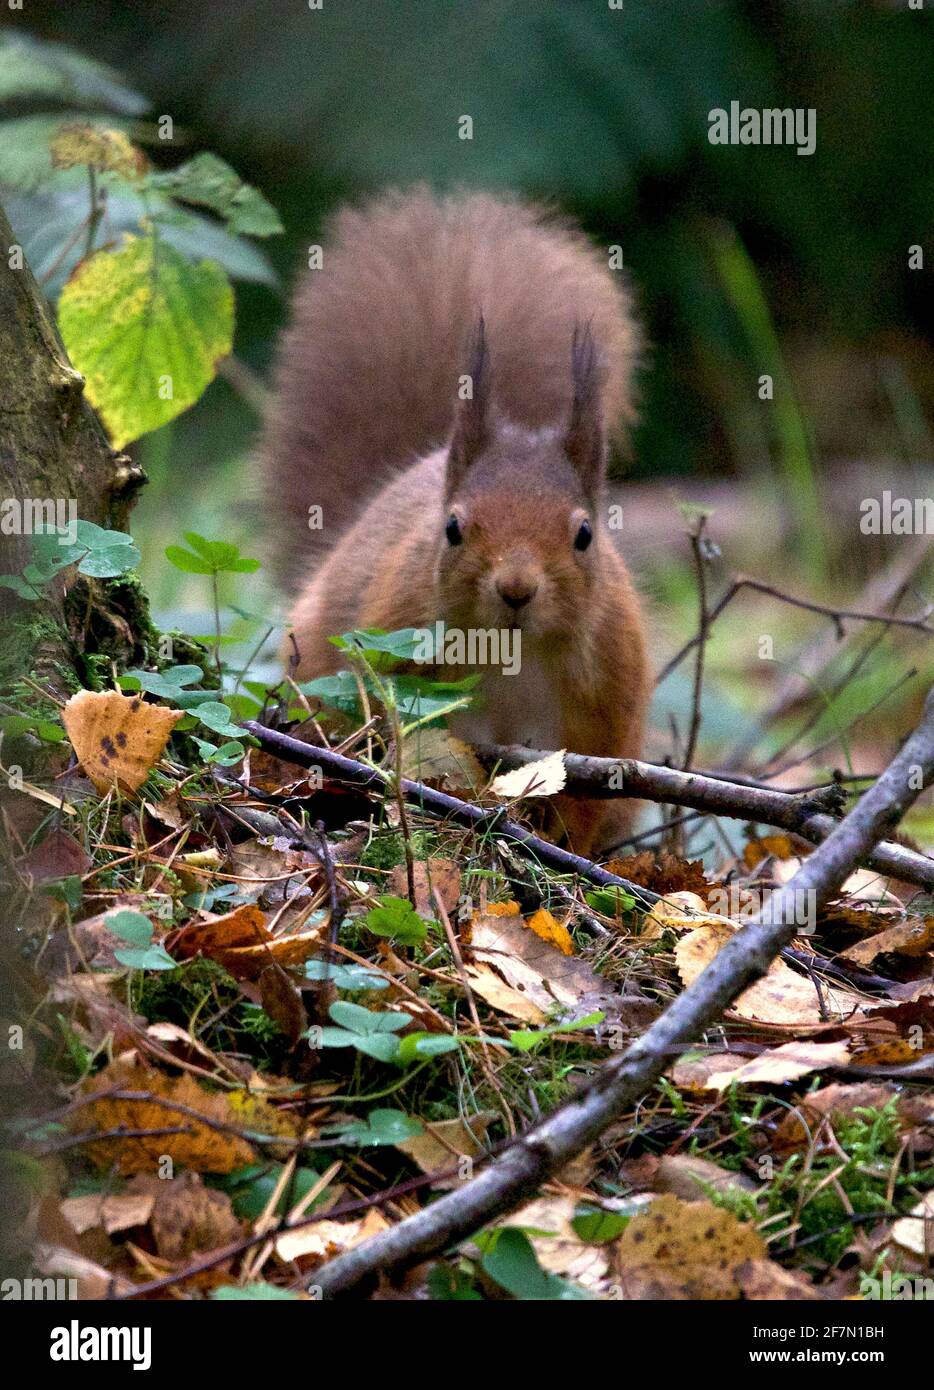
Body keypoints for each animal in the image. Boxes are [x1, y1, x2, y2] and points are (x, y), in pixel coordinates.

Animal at [261, 188, 650, 857]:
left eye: (585, 535)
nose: (516, 590)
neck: (511, 653)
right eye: (452, 529)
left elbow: (583, 799)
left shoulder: (604, 701)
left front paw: (562, 847)